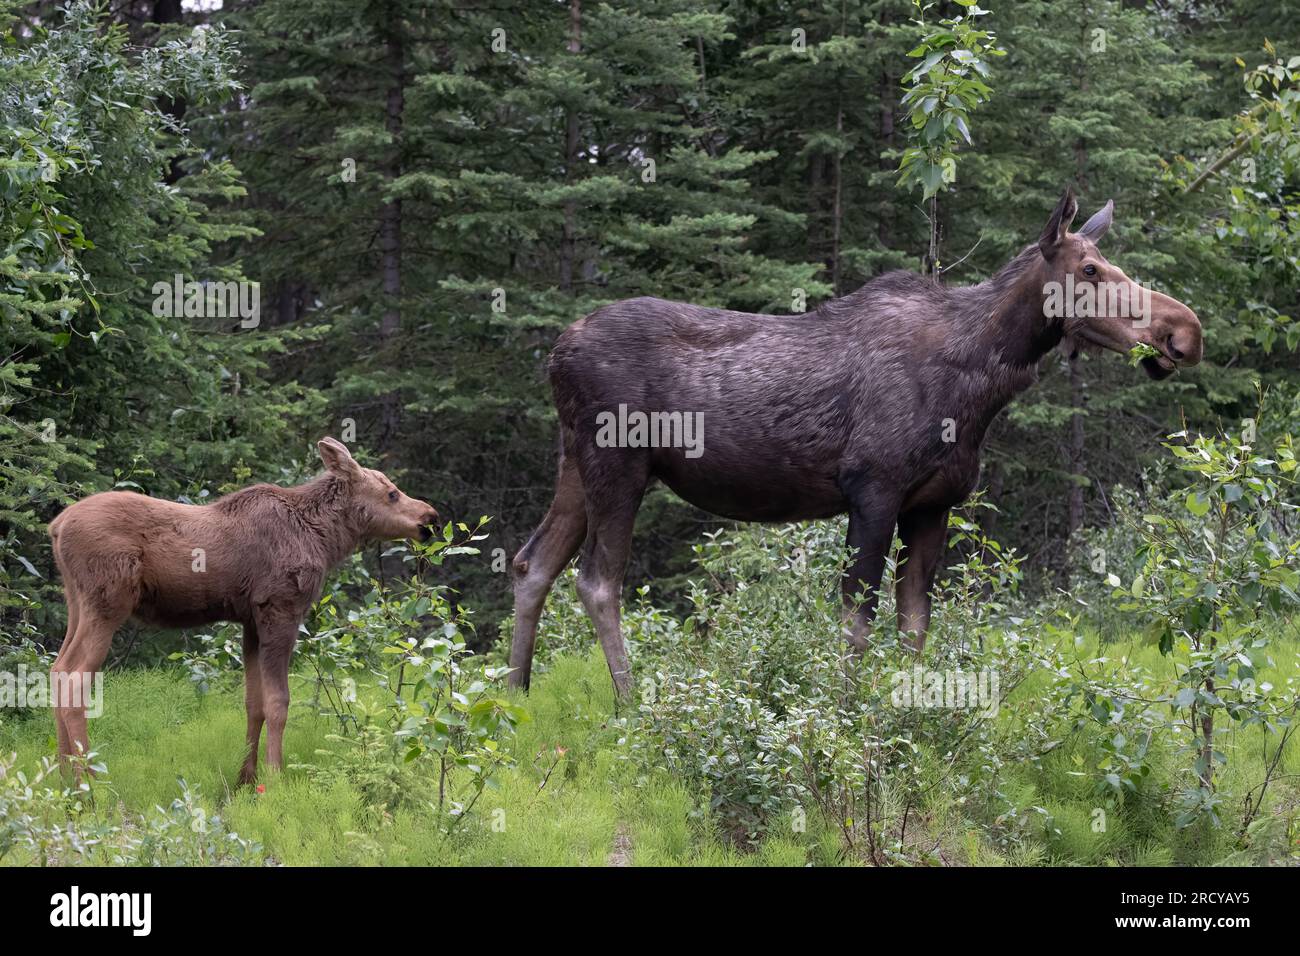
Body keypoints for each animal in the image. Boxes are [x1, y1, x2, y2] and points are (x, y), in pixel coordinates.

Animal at [48, 442, 439, 785]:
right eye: (392, 493)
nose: (430, 517)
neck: (326, 539)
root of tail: (56, 527)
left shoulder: (250, 620)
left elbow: (254, 703)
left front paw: (246, 779)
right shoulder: (281, 608)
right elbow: (279, 702)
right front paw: (275, 776)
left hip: (77, 602)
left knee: (56, 668)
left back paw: (64, 780)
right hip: (108, 601)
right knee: (75, 677)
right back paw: (88, 784)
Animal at [504, 188, 1196, 697]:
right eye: (1090, 269)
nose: (1183, 331)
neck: (981, 388)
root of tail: (554, 354)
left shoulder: (932, 505)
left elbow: (914, 626)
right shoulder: (873, 489)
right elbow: (856, 624)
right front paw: (847, 712)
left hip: (575, 464)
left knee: (532, 562)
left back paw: (516, 694)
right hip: (617, 464)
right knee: (597, 581)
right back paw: (631, 702)